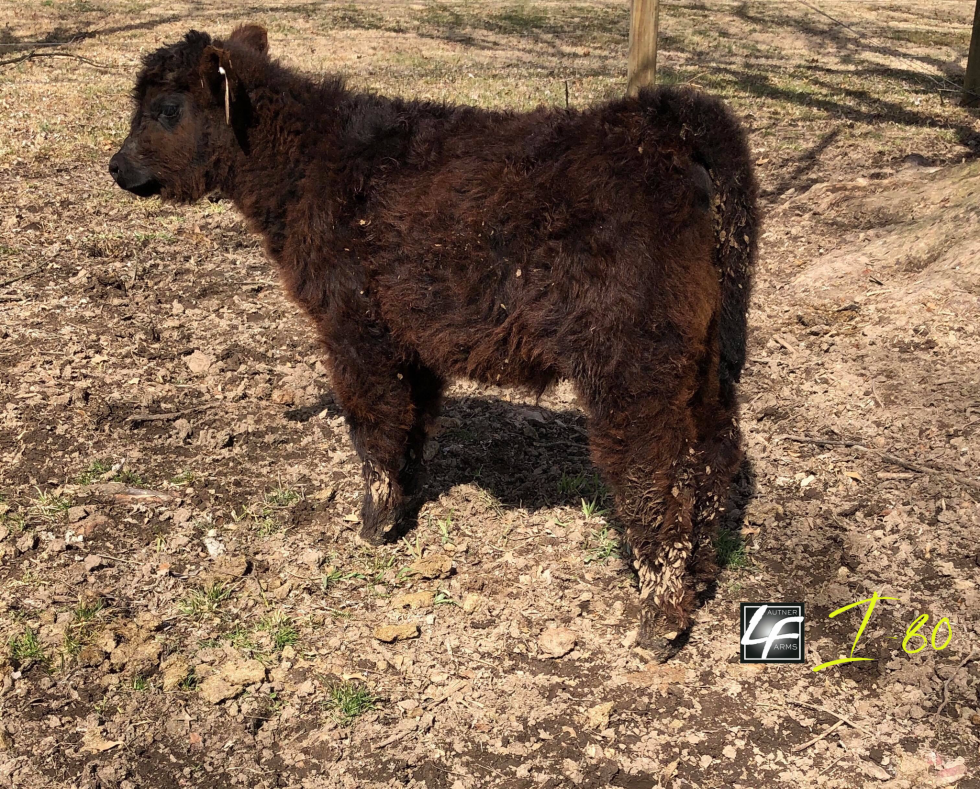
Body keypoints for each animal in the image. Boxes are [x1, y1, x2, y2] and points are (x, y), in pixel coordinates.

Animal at [109, 25, 758, 656]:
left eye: (166, 109)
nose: (116, 166)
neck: (312, 164)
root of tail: (667, 123)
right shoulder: (412, 338)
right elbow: (413, 422)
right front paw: (405, 503)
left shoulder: (356, 328)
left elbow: (374, 424)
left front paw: (375, 523)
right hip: (706, 358)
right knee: (713, 455)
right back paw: (699, 577)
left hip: (634, 364)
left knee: (657, 473)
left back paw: (659, 622)